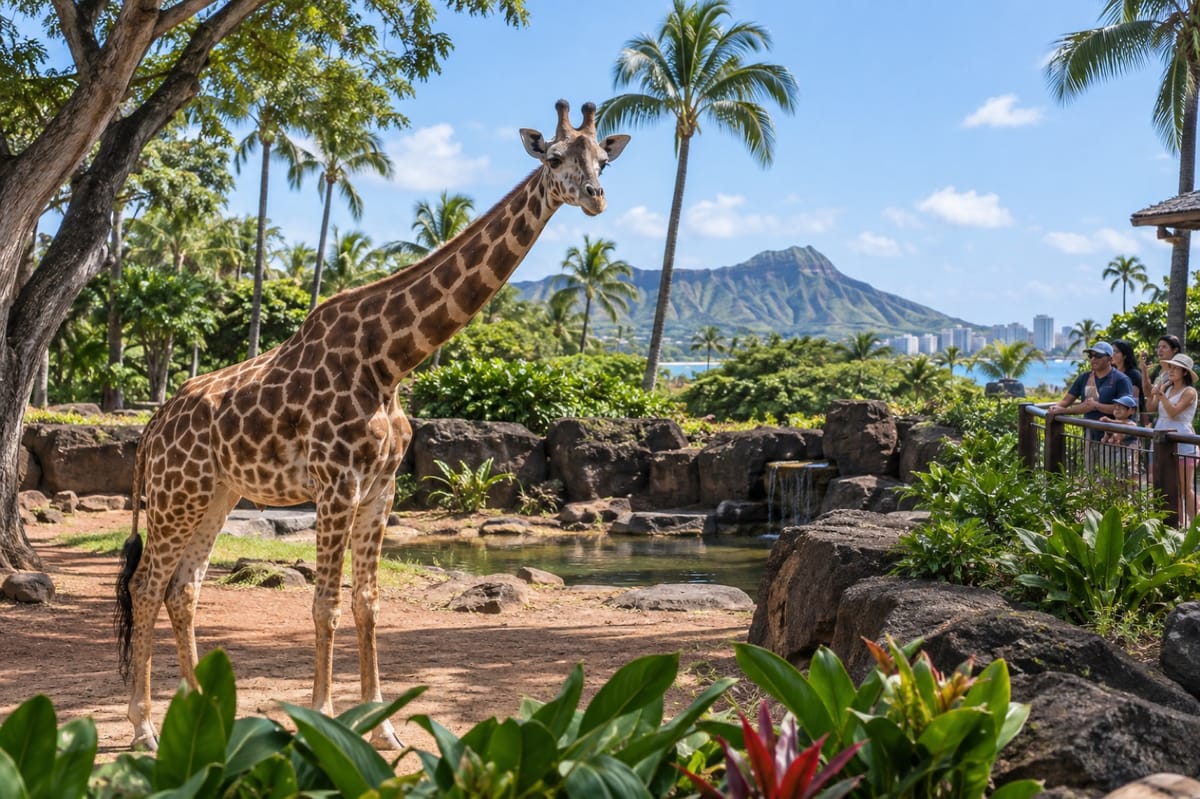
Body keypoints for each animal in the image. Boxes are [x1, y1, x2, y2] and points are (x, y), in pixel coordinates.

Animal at [115, 99, 630, 750]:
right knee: (145, 585)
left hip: (216, 494)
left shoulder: (380, 490)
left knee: (182, 590)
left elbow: (368, 603)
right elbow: (325, 604)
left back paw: (202, 712)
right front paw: (323, 718)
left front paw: (382, 726)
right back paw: (143, 729)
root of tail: (151, 431)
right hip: (176, 495)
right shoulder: (337, 486)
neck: (389, 359)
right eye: (556, 157)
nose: (595, 198)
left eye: (605, 160)